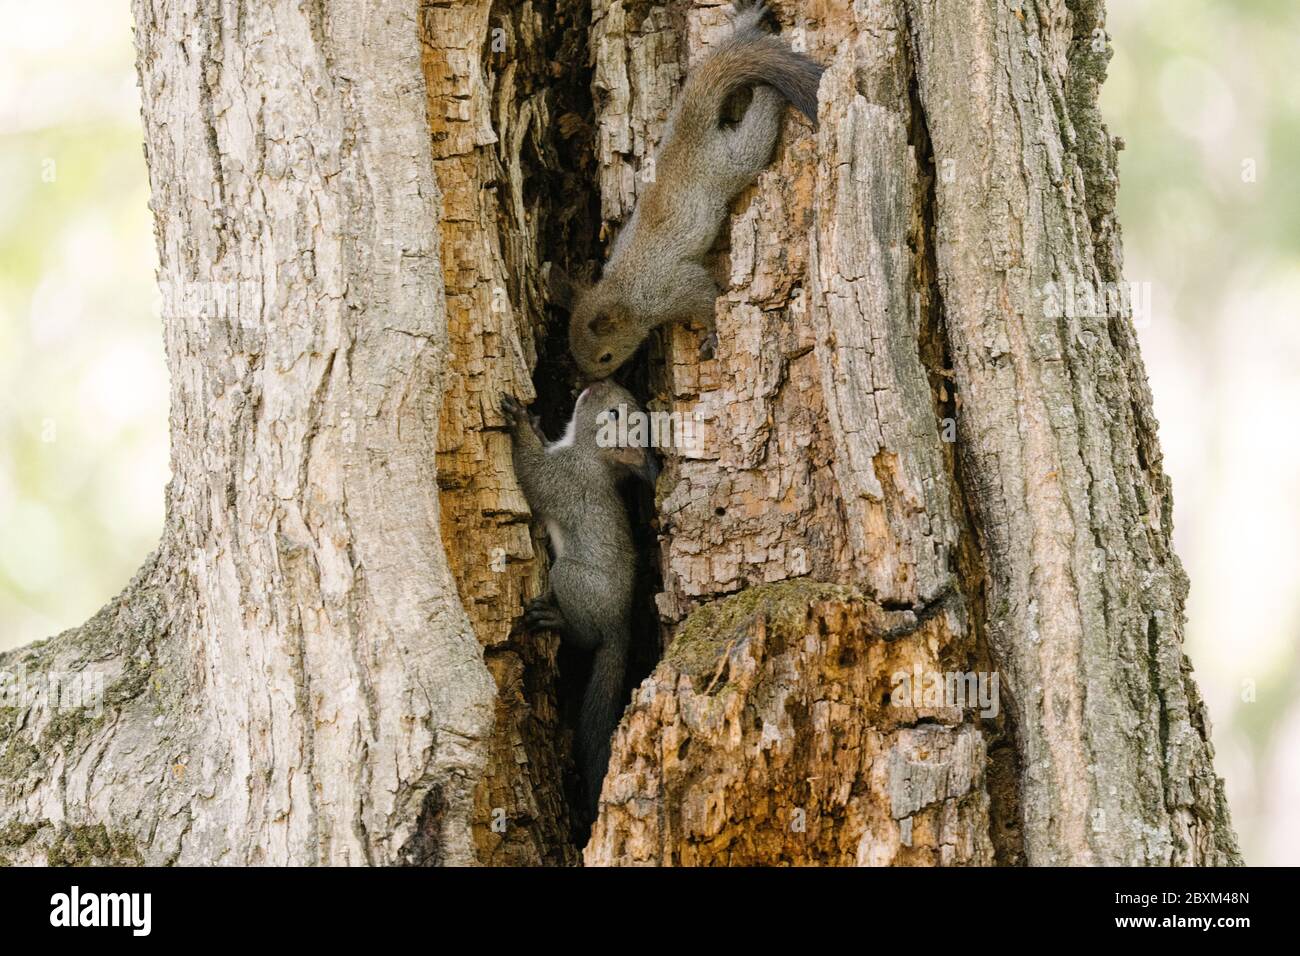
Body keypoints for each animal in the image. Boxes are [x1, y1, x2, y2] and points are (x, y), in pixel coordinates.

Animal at [500, 383, 659, 818]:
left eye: (615, 414)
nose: (597, 383)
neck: (590, 457)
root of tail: (619, 623)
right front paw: (534, 423)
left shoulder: (566, 480)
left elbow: (534, 473)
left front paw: (519, 424)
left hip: (570, 577)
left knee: (585, 637)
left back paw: (554, 619)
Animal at [562, 0, 824, 379]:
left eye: (605, 357)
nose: (595, 379)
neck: (623, 293)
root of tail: (689, 123)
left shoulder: (671, 289)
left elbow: (705, 298)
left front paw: (713, 333)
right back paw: (745, 23)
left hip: (731, 160)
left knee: (759, 123)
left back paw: (767, 93)